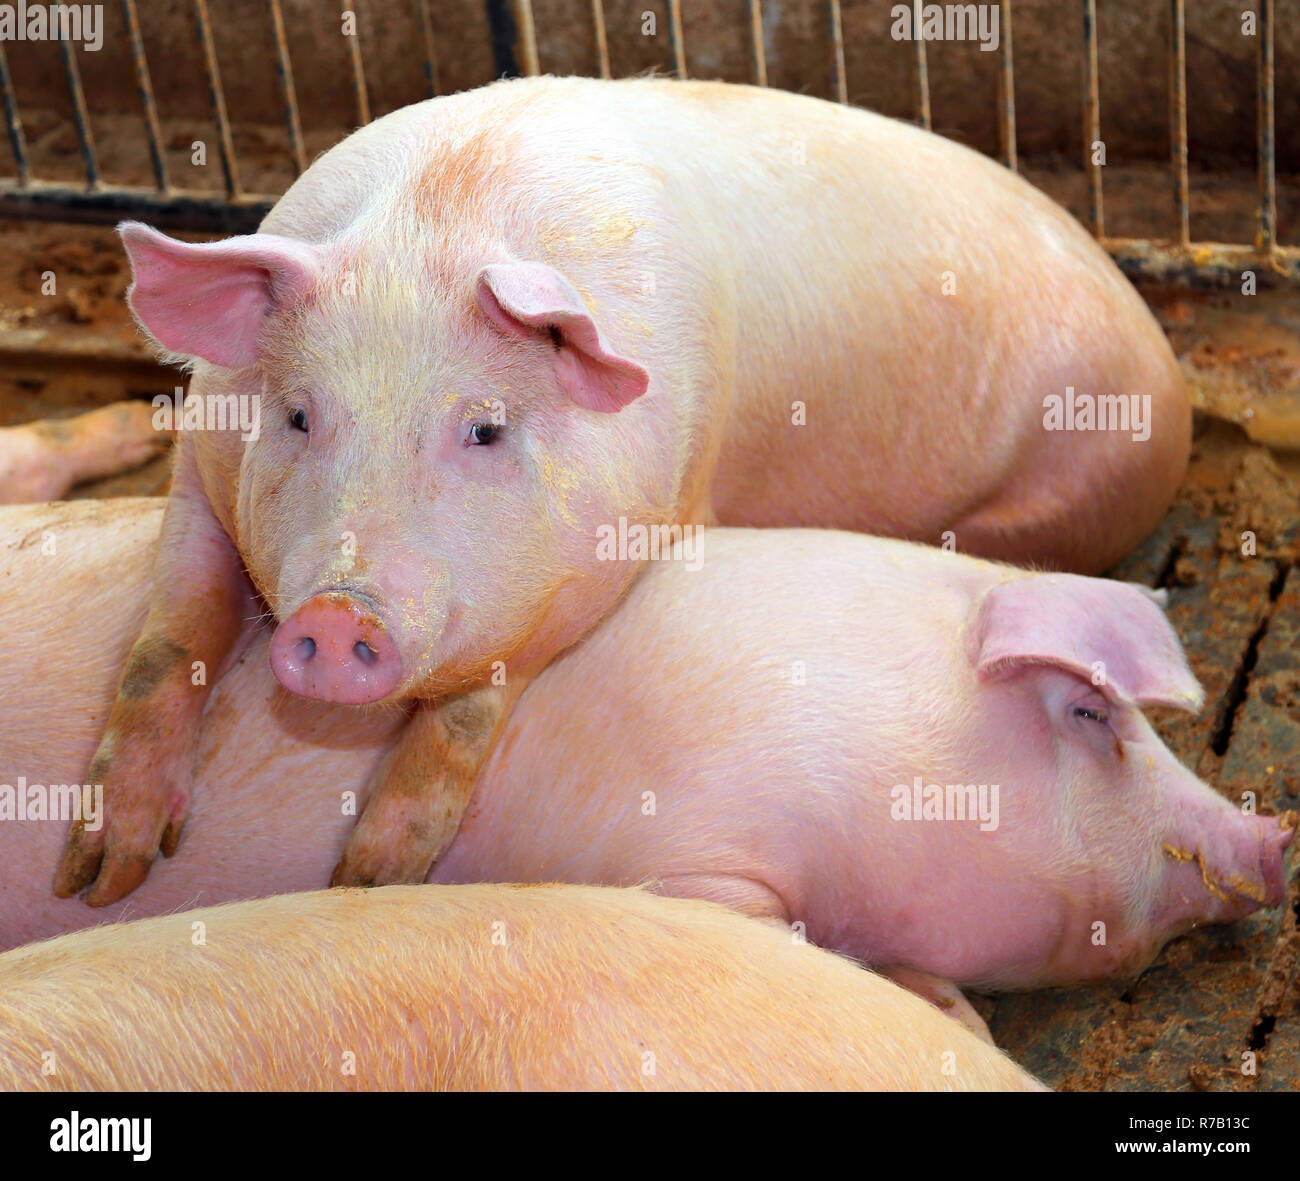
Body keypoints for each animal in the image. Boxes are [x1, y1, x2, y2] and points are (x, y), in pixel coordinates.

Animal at [53, 75, 1192, 905]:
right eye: (297, 414)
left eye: (484, 429)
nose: (337, 616)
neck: (442, 212)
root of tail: (1166, 372)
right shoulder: (204, 466)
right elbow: (167, 638)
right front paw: (100, 876)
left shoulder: (627, 540)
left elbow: (472, 708)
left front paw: (365, 881)